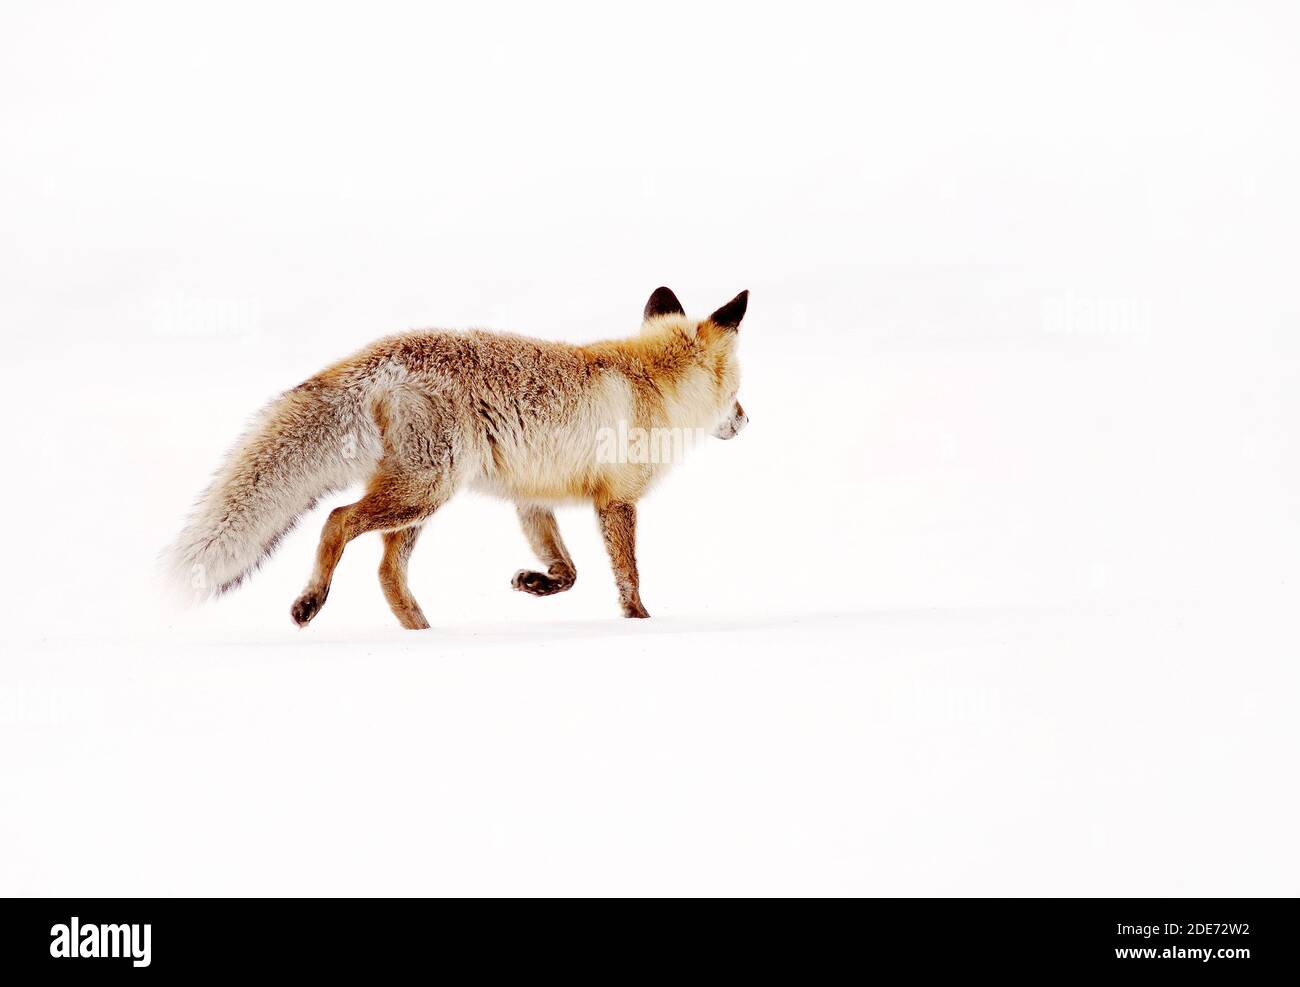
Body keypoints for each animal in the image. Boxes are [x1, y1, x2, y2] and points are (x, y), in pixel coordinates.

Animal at [167, 286, 750, 629]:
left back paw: (423, 637)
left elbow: (568, 571)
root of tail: (381, 352)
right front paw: (641, 622)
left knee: (386, 571)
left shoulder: (530, 499)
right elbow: (627, 578)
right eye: (738, 391)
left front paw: (537, 584)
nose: (746, 420)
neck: (653, 384)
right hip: (425, 491)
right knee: (336, 520)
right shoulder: (617, 501)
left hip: (416, 501)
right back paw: (312, 601)